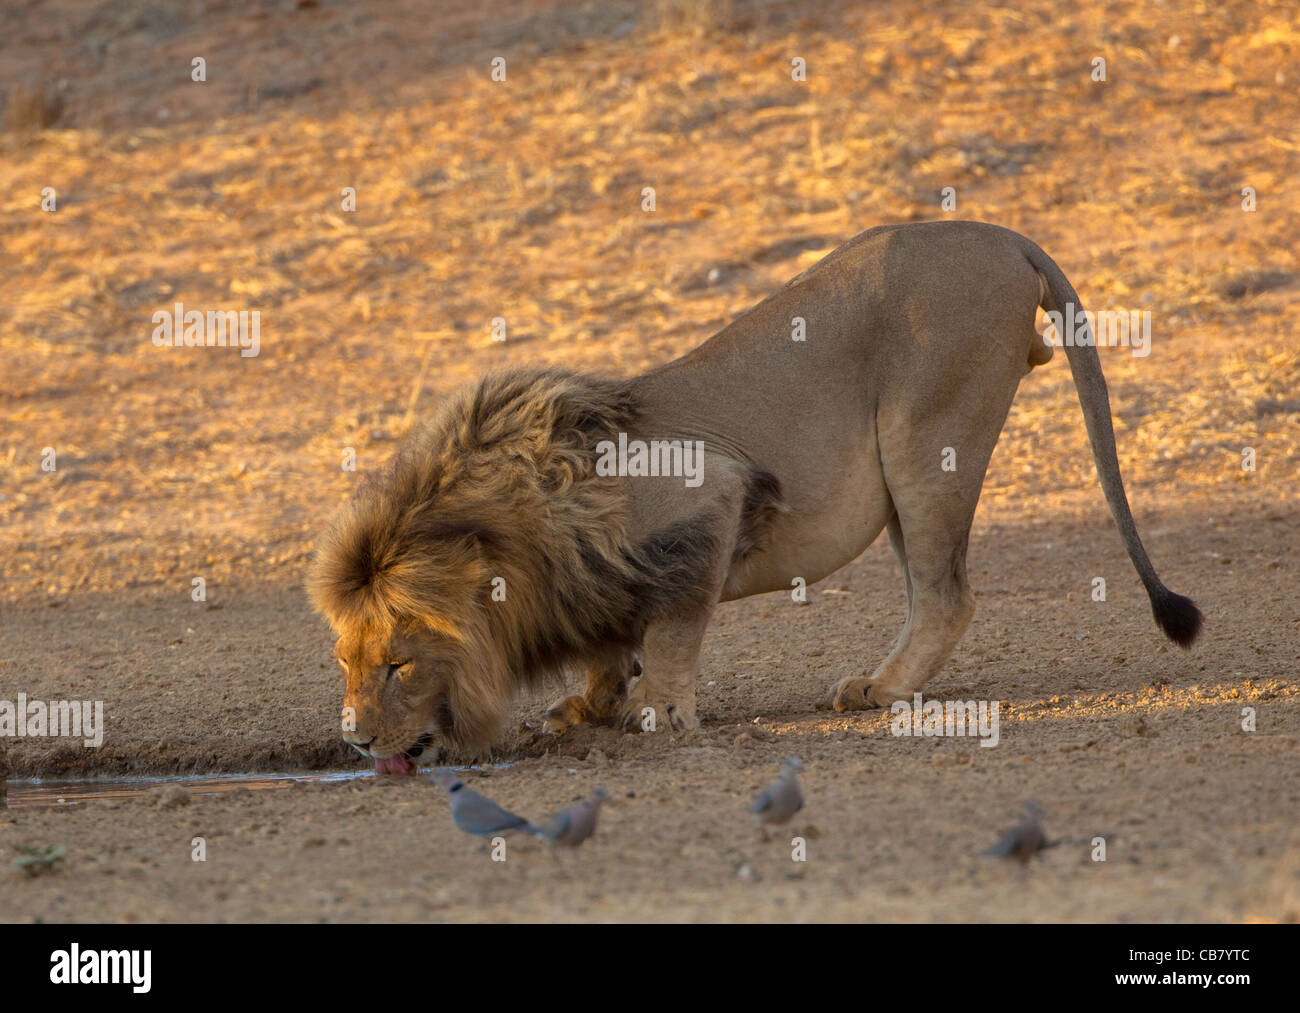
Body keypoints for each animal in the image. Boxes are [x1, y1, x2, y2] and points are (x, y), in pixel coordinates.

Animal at [307, 221, 1202, 771]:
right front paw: (587, 706)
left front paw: (660, 712)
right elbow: (610, 643)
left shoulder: (708, 491)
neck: (519, 527)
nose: (355, 743)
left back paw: (881, 689)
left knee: (949, 593)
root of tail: (1002, 236)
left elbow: (672, 629)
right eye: (346, 663)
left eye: (399, 665)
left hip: (927, 439)